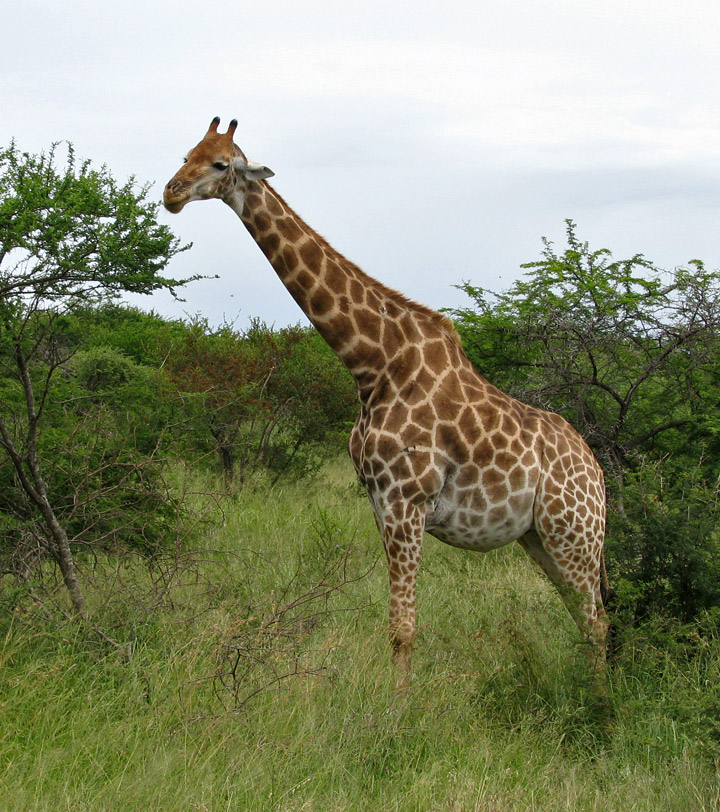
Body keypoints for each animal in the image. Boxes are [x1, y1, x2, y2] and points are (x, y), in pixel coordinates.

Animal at [164, 117, 611, 688]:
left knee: (596, 622)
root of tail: (598, 472)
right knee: (587, 618)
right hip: (541, 538)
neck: (373, 364)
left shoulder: (406, 500)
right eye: (187, 154)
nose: (171, 193)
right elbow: (395, 624)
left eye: (221, 163)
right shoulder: (380, 503)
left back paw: (600, 703)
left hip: (573, 532)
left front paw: (399, 710)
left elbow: (404, 629)